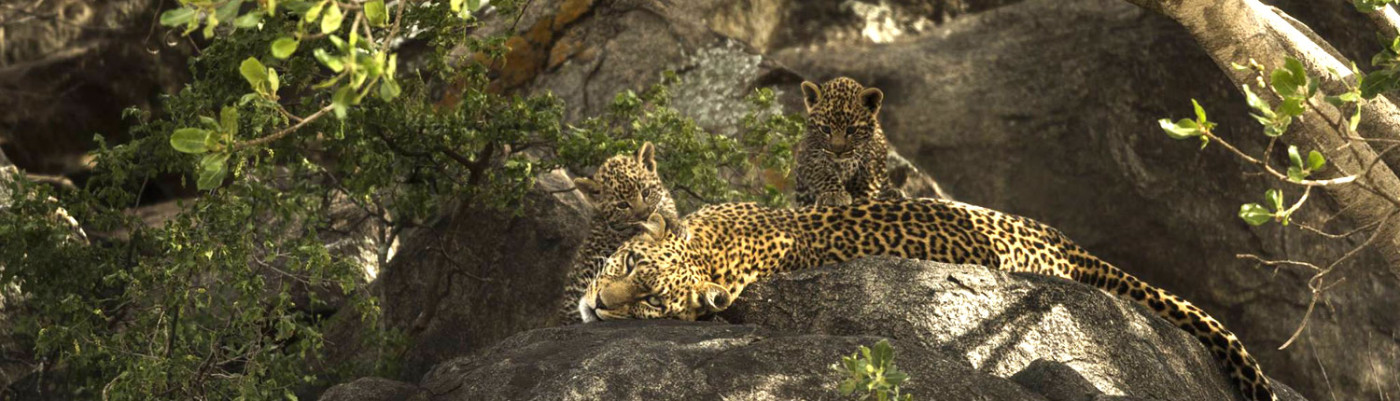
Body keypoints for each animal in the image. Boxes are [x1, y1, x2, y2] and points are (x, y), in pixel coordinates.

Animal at [794, 77, 899, 206]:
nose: (837, 151)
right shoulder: (810, 156)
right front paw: (834, 195)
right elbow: (824, 175)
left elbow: (866, 183)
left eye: (851, 130)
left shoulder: (874, 162)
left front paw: (859, 197)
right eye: (826, 129)